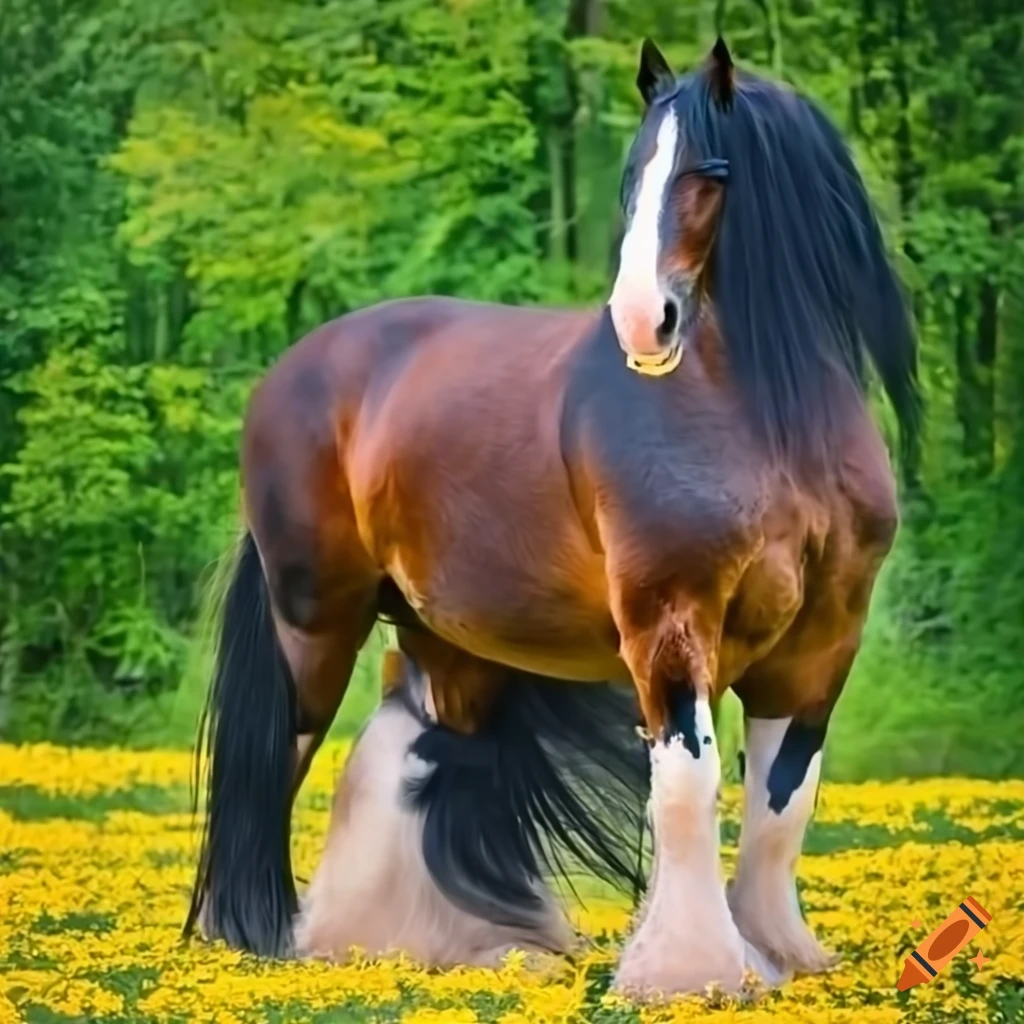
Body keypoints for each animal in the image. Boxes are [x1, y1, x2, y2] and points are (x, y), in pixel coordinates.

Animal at [185, 37, 919, 998]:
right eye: (635, 172)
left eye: (711, 170)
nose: (643, 322)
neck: (767, 419)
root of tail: (292, 371)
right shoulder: (669, 622)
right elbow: (688, 787)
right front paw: (689, 972)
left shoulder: (823, 641)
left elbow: (781, 801)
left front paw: (777, 957)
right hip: (313, 624)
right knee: (278, 761)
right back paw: (256, 941)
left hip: (446, 635)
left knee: (424, 753)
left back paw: (454, 946)